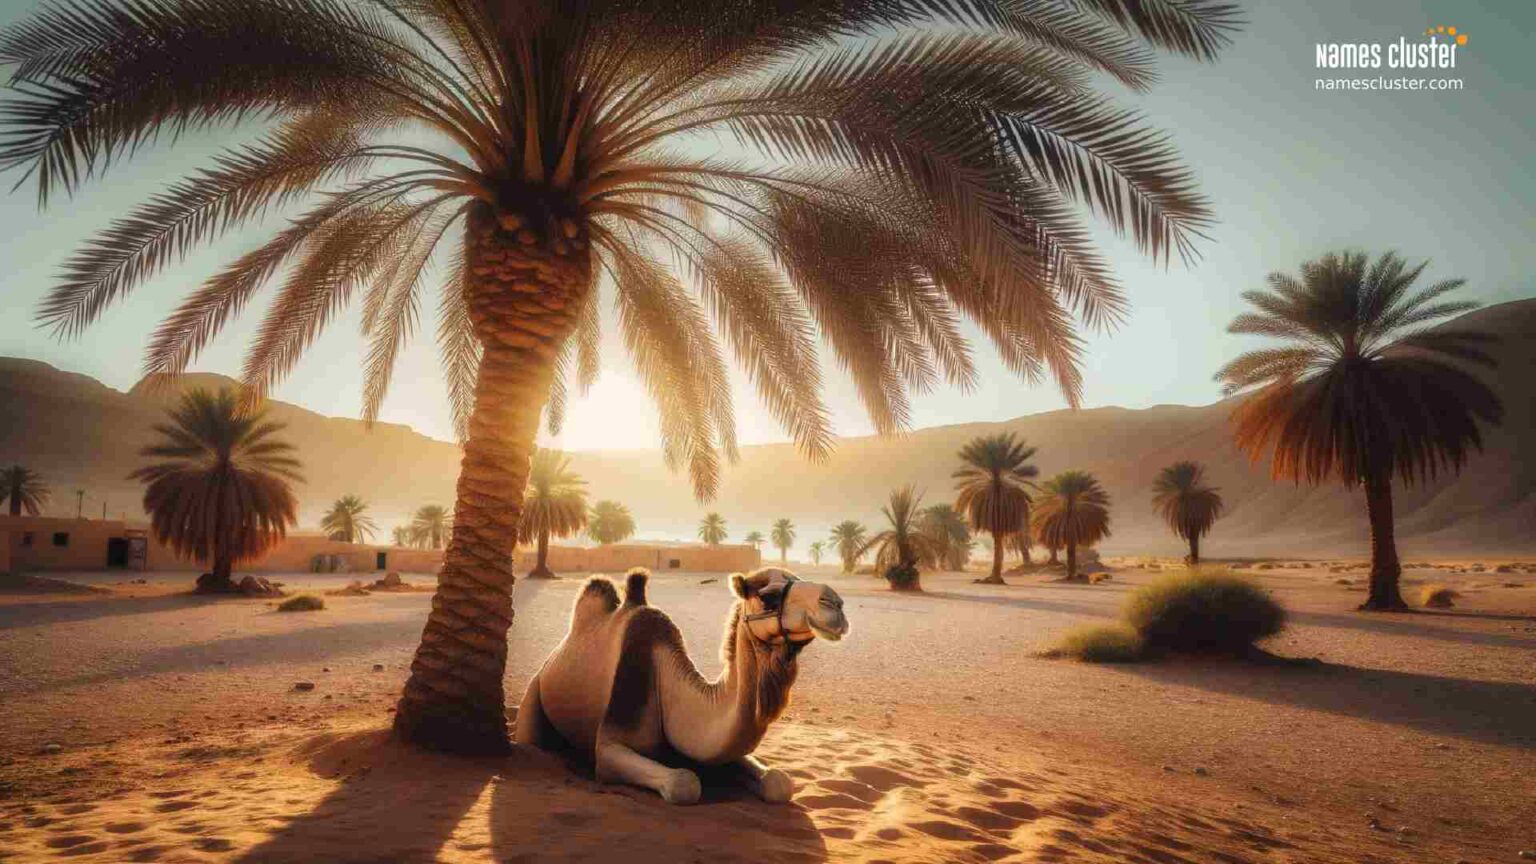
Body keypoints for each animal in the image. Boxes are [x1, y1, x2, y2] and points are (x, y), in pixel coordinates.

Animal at [515, 566, 849, 804]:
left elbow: (779, 781)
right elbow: (684, 782)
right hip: (534, 693)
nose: (836, 603)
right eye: (769, 596)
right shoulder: (610, 746)